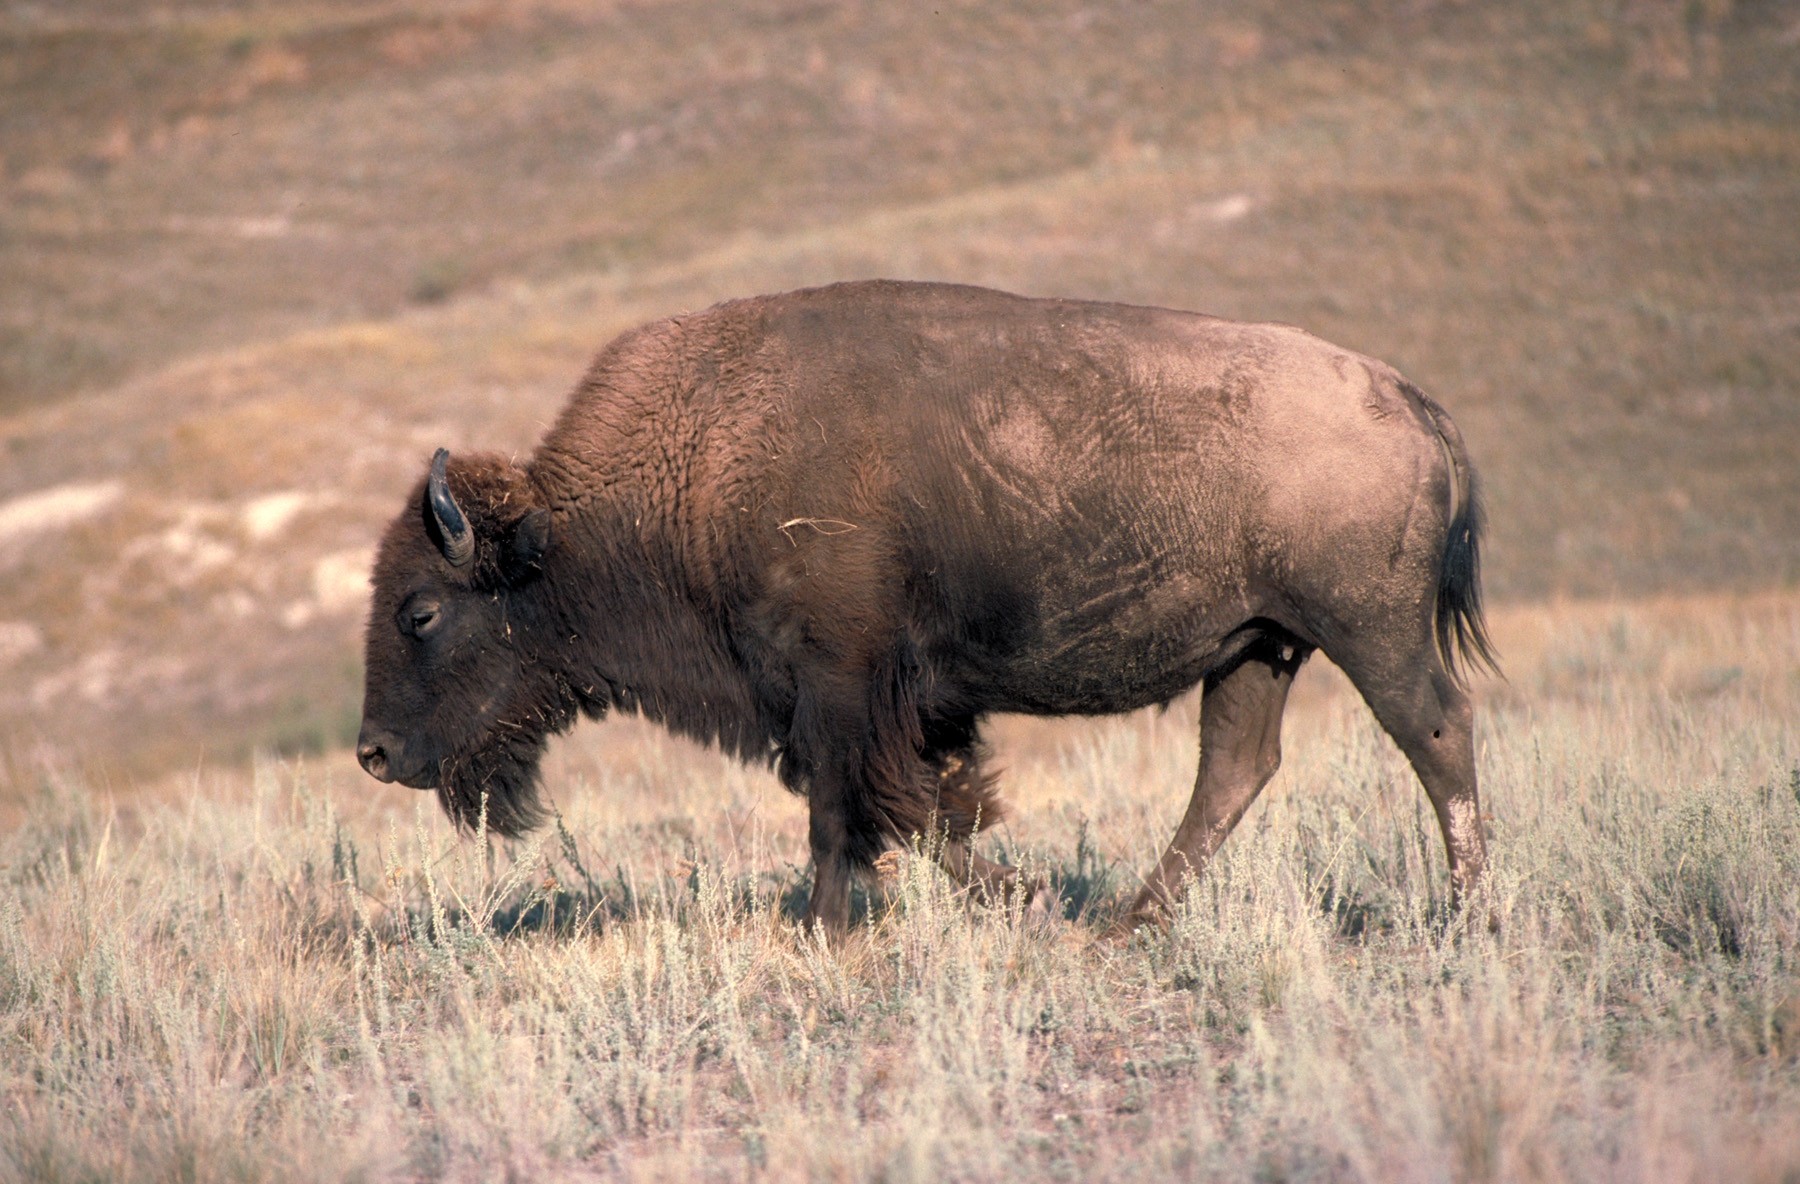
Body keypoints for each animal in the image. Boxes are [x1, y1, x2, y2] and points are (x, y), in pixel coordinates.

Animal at [357, 280, 1497, 933]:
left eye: (421, 612)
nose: (373, 752)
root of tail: (1409, 398)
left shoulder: (835, 685)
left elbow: (845, 807)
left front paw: (822, 926)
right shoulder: (911, 704)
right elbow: (930, 807)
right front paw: (1018, 898)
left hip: (1367, 631)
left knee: (1435, 731)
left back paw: (1466, 914)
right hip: (1258, 644)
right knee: (1235, 766)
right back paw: (1131, 920)